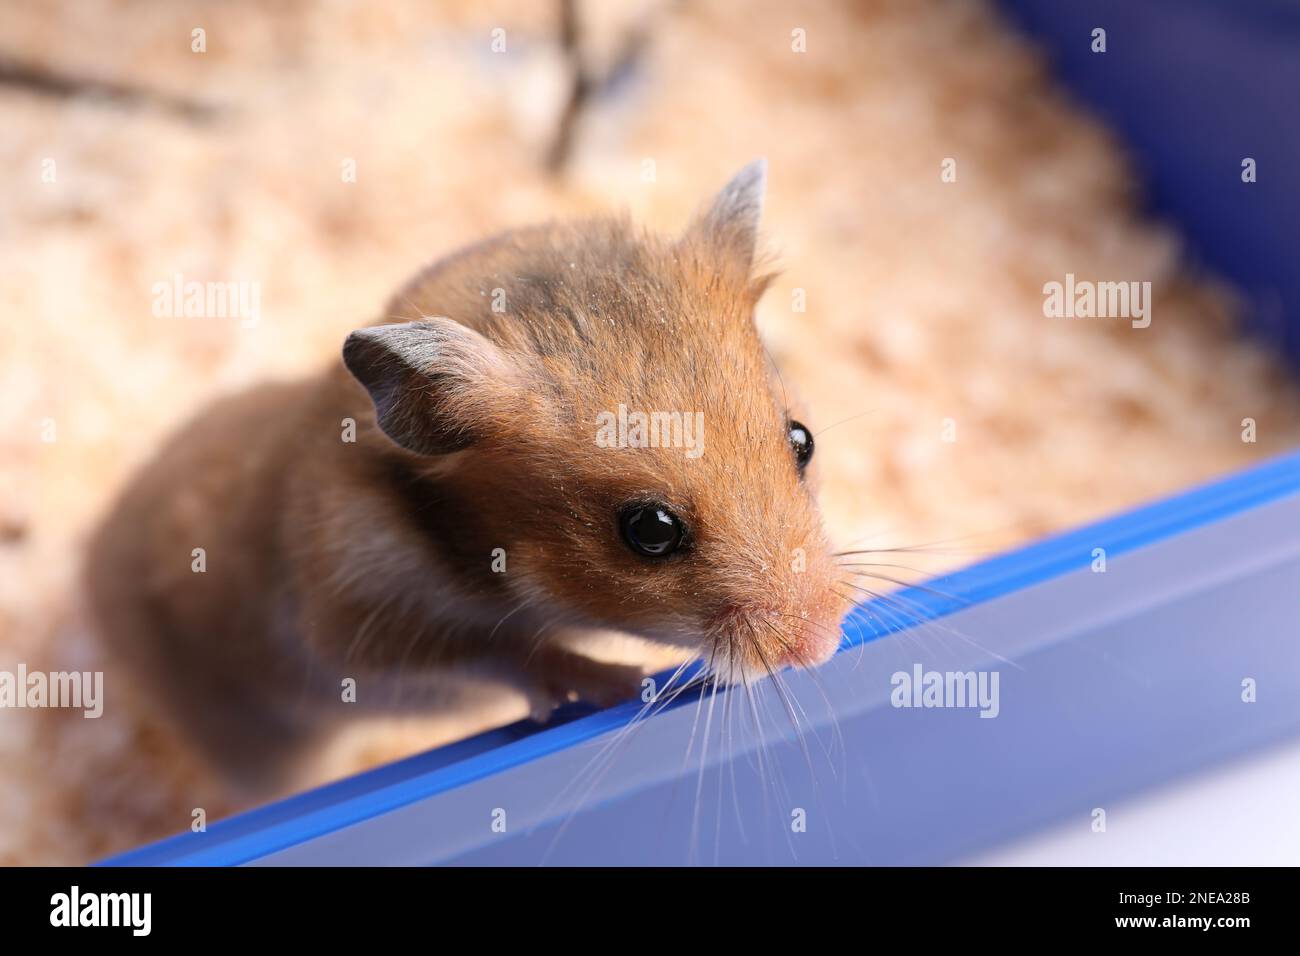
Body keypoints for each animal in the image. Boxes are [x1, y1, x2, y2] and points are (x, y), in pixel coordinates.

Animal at [85, 161, 850, 788]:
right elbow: (506, 653)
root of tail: (89, 556)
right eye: (650, 530)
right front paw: (619, 683)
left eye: (802, 441)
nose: (823, 646)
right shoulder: (361, 635)